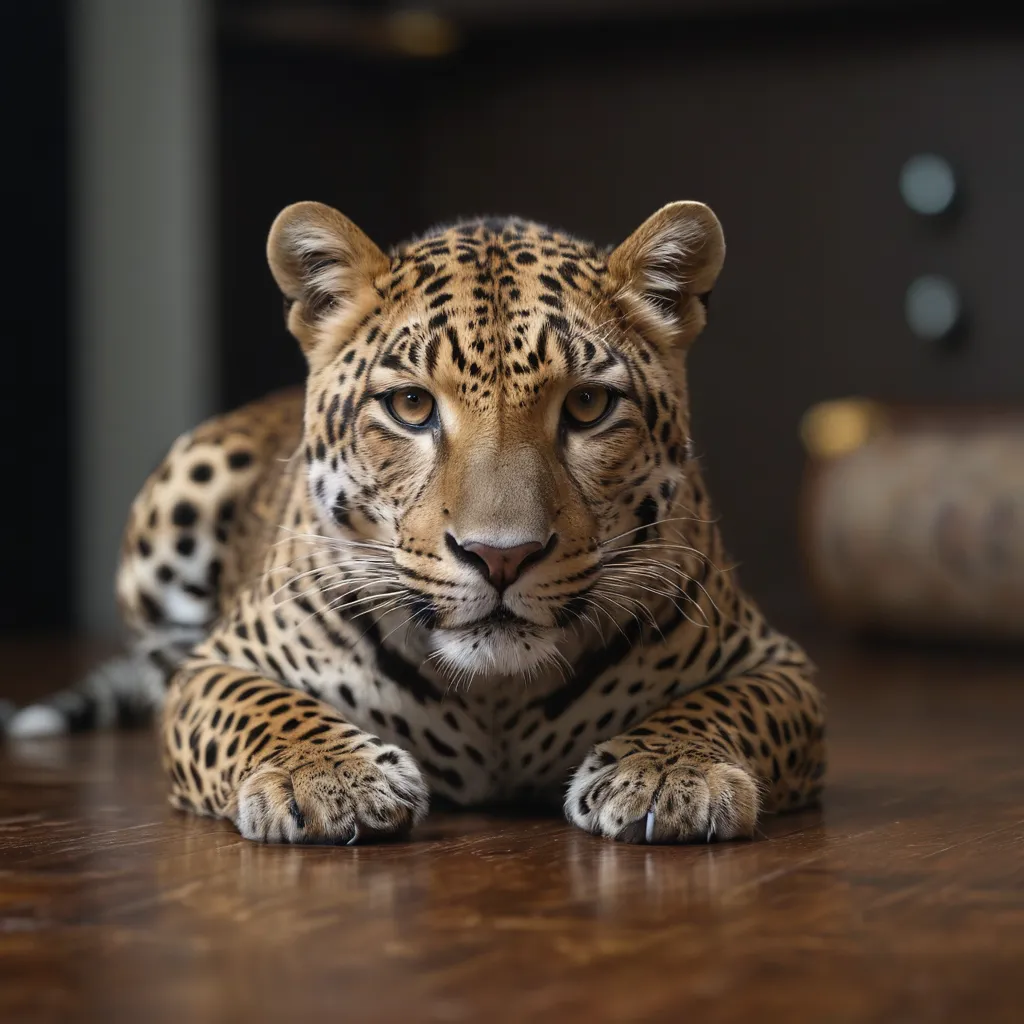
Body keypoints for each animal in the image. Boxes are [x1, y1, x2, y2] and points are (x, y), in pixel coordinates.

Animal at [8, 200, 825, 845]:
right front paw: (327, 777)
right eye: (410, 406)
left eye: (589, 406)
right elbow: (262, 708)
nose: (502, 557)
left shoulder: (777, 667)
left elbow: (716, 708)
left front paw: (665, 772)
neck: (496, 700)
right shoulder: (216, 667)